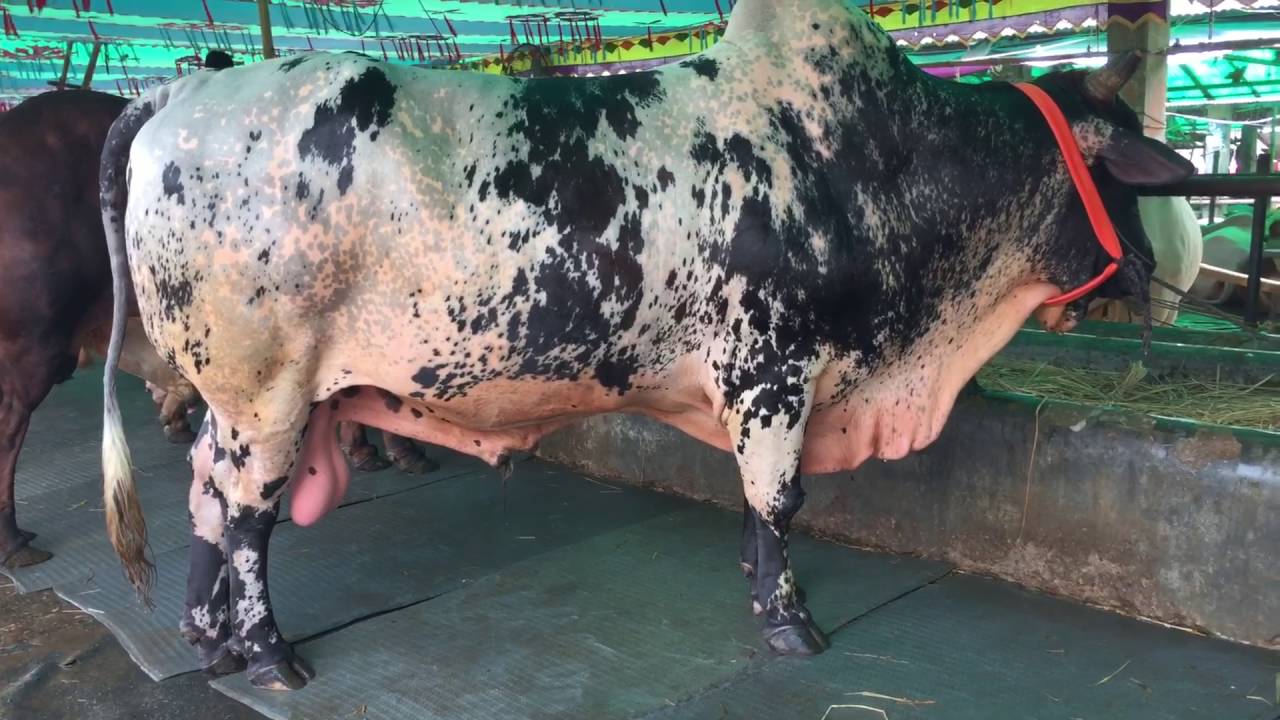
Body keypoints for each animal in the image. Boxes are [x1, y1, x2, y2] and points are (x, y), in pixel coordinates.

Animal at [99, 0, 1192, 690]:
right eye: (1125, 178)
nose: (1160, 271)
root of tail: (177, 96)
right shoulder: (770, 375)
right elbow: (778, 502)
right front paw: (789, 621)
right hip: (267, 390)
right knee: (247, 519)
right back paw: (267, 654)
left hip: (238, 399)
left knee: (206, 496)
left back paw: (210, 641)